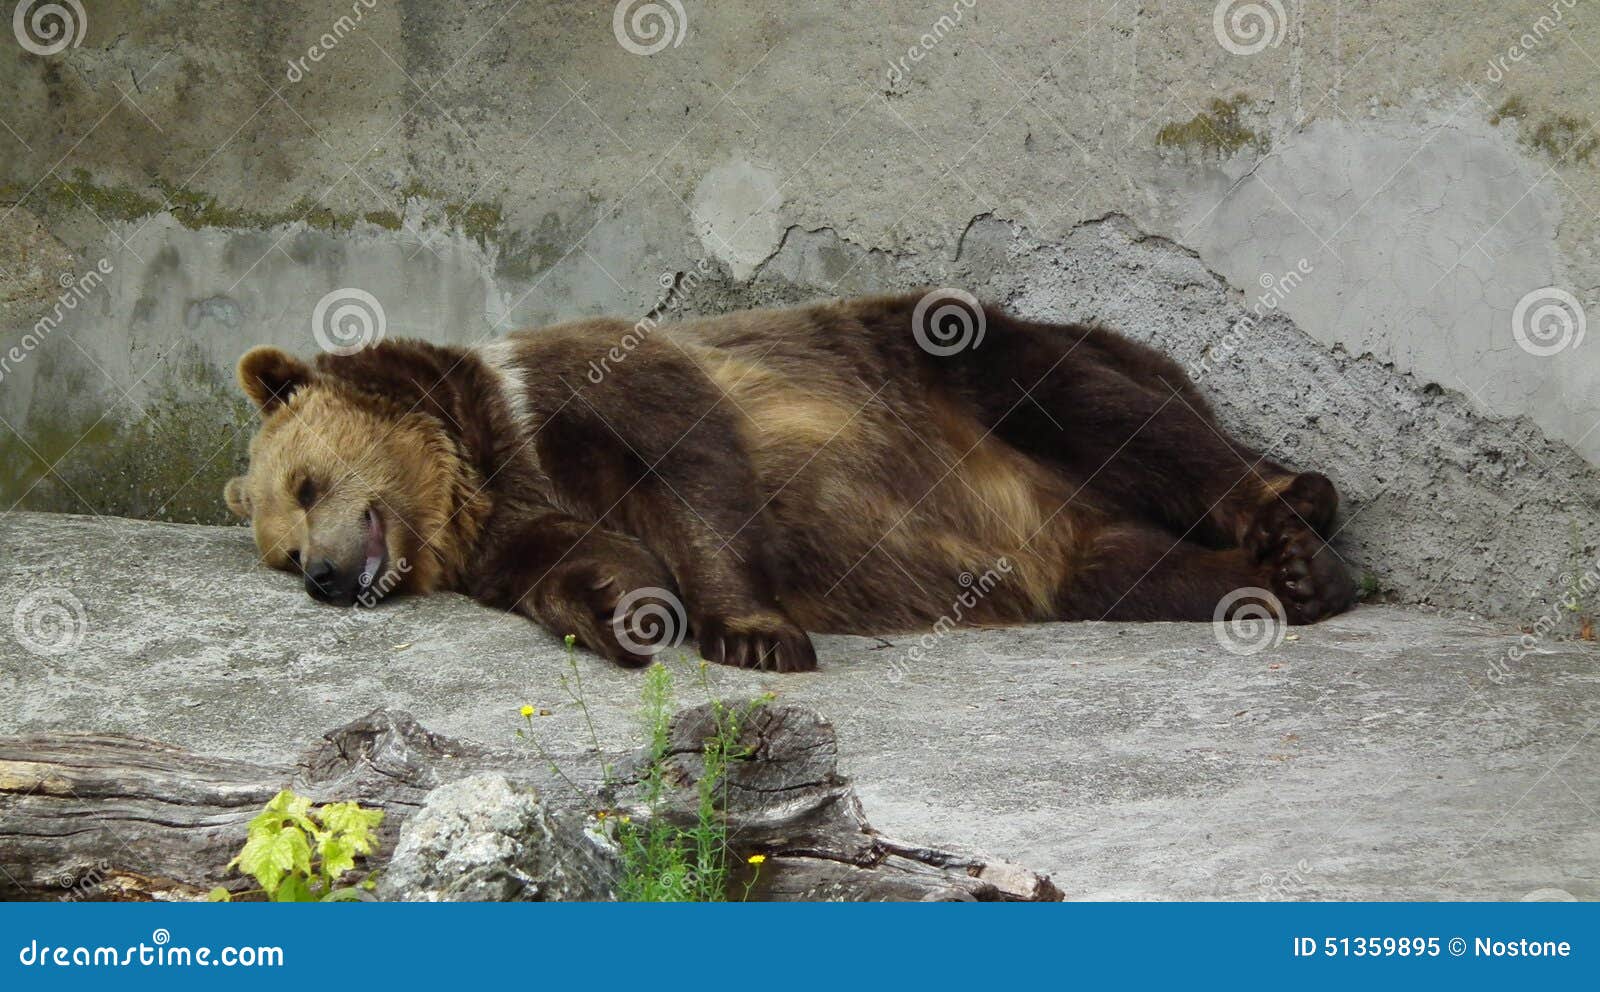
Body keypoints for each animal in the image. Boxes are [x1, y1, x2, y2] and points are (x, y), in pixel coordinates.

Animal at [223, 291, 1355, 672]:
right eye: (282, 547)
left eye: (308, 482)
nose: (324, 575)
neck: (488, 454)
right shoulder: (521, 522)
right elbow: (581, 564)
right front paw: (627, 617)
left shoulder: (595, 387)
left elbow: (697, 467)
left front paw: (755, 634)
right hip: (1071, 546)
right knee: (1129, 573)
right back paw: (1280, 584)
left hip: (954, 369)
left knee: (1094, 401)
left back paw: (1294, 518)